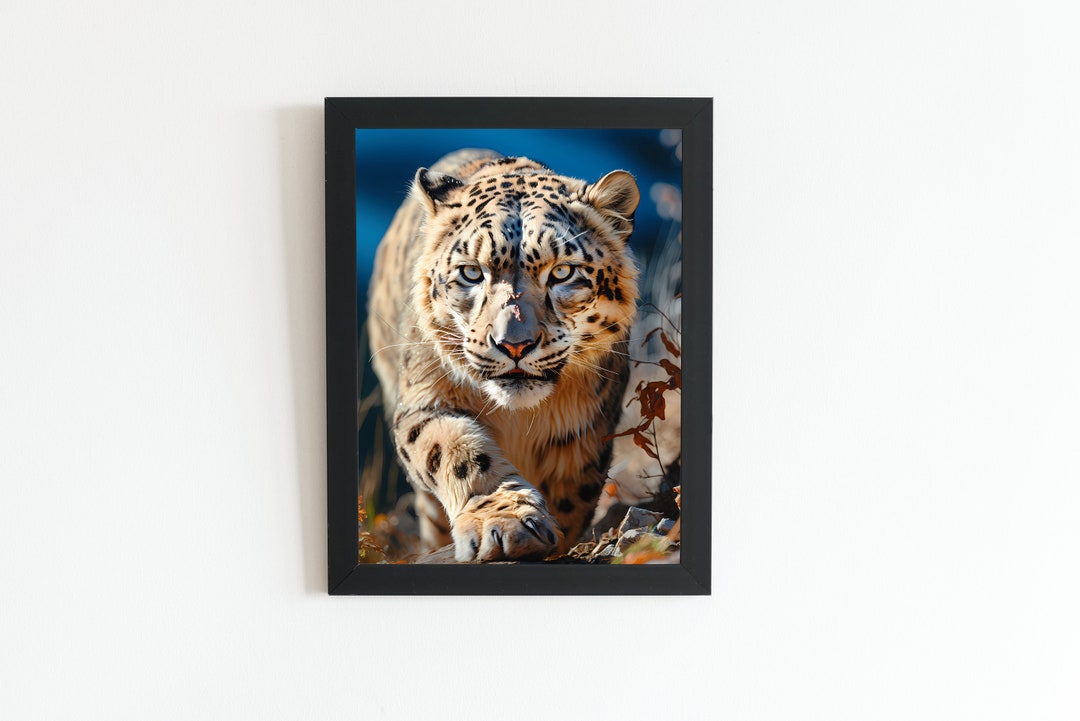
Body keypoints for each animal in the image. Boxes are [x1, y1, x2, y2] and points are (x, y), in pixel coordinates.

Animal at [367, 148, 640, 562]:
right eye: (471, 273)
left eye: (562, 272)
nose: (514, 344)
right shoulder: (425, 402)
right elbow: (454, 451)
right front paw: (505, 522)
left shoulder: (586, 429)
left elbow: (571, 498)